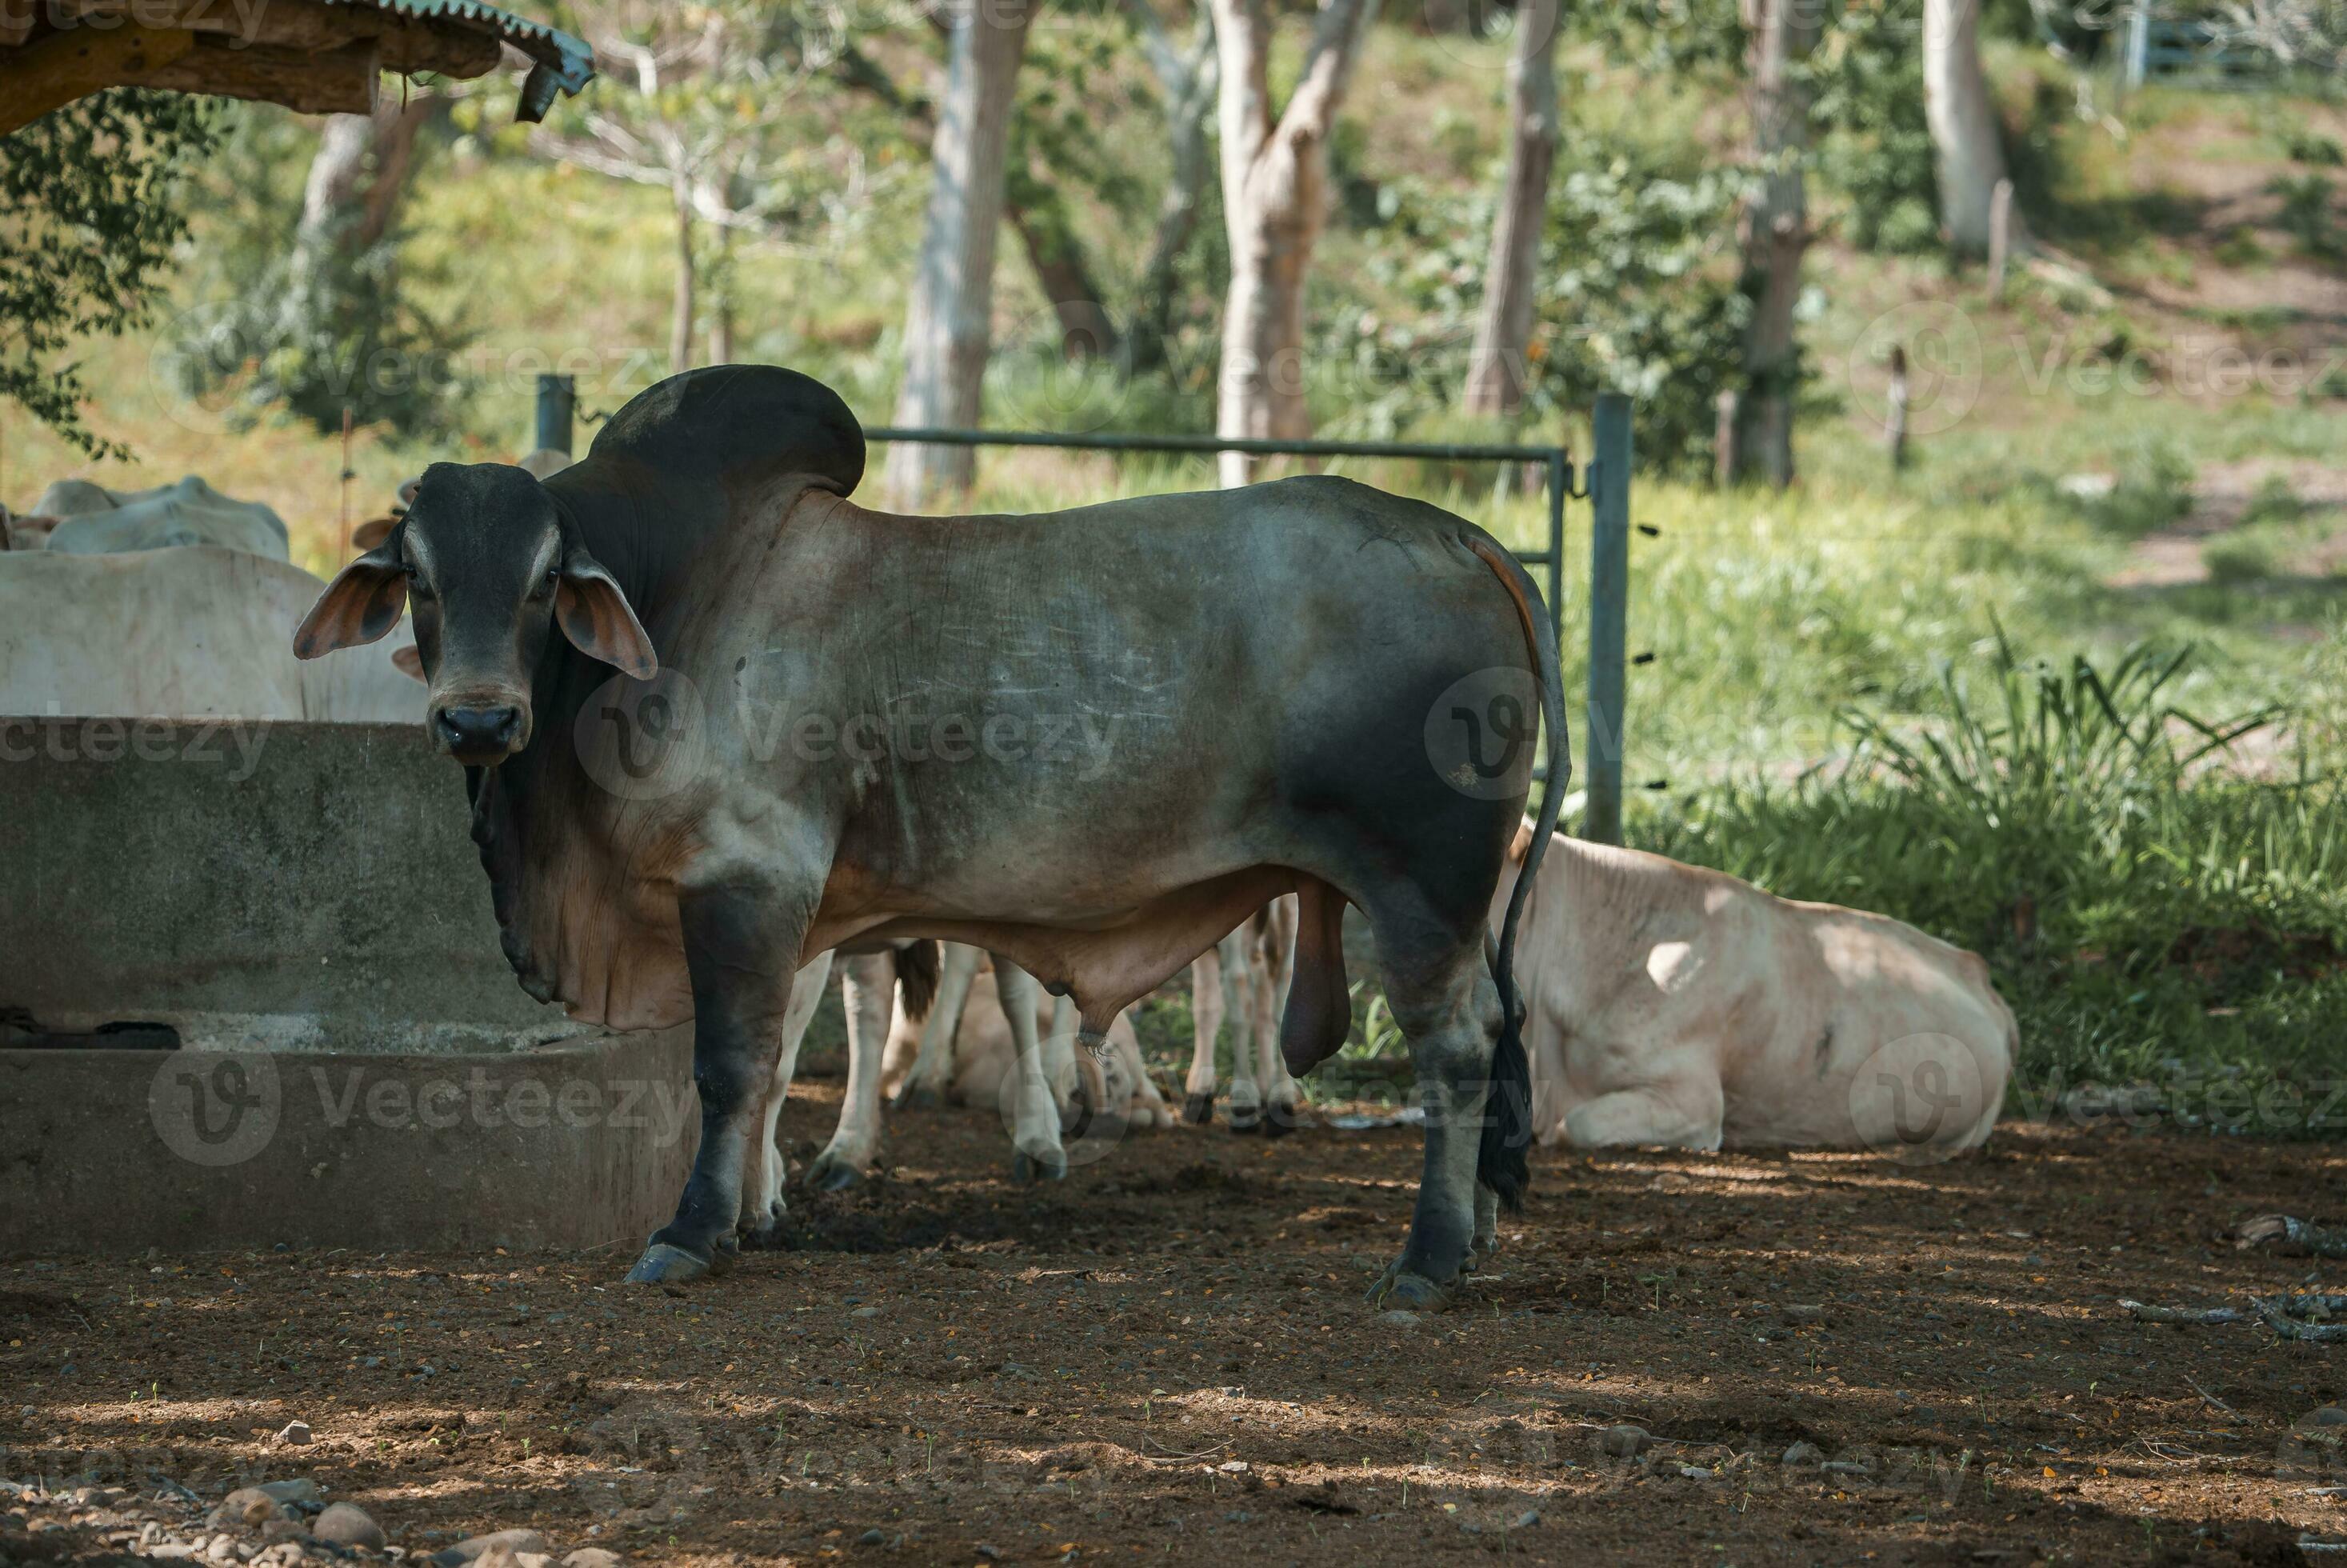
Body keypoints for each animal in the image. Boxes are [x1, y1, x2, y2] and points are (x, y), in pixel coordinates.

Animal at [292, 365, 1565, 1312]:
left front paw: (695, 1232)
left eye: (544, 580)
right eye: (418, 578)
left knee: (1457, 1050)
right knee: (1493, 1033)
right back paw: (1472, 1236)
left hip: (1422, 885)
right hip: (1449, 903)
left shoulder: (747, 878)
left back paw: (1424, 1262)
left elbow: (732, 1066)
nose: (476, 719)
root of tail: (1460, 534)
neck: (679, 597)